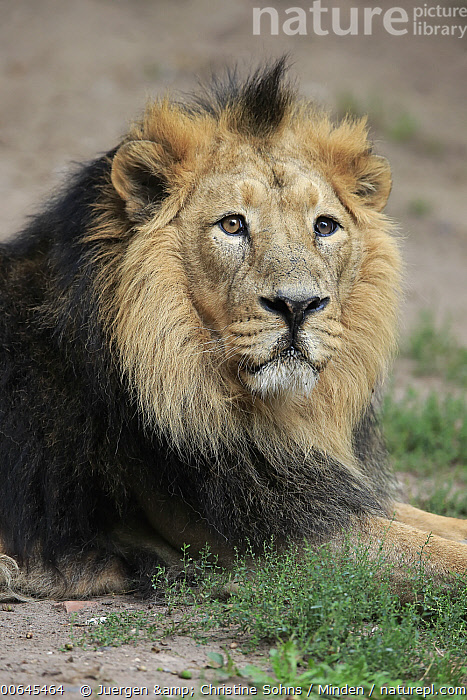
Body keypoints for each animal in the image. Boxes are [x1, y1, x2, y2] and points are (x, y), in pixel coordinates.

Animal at [1, 59, 466, 602]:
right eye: (232, 225)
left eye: (325, 226)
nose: (298, 305)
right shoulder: (272, 540)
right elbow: (440, 556)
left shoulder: (317, 488)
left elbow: (437, 526)